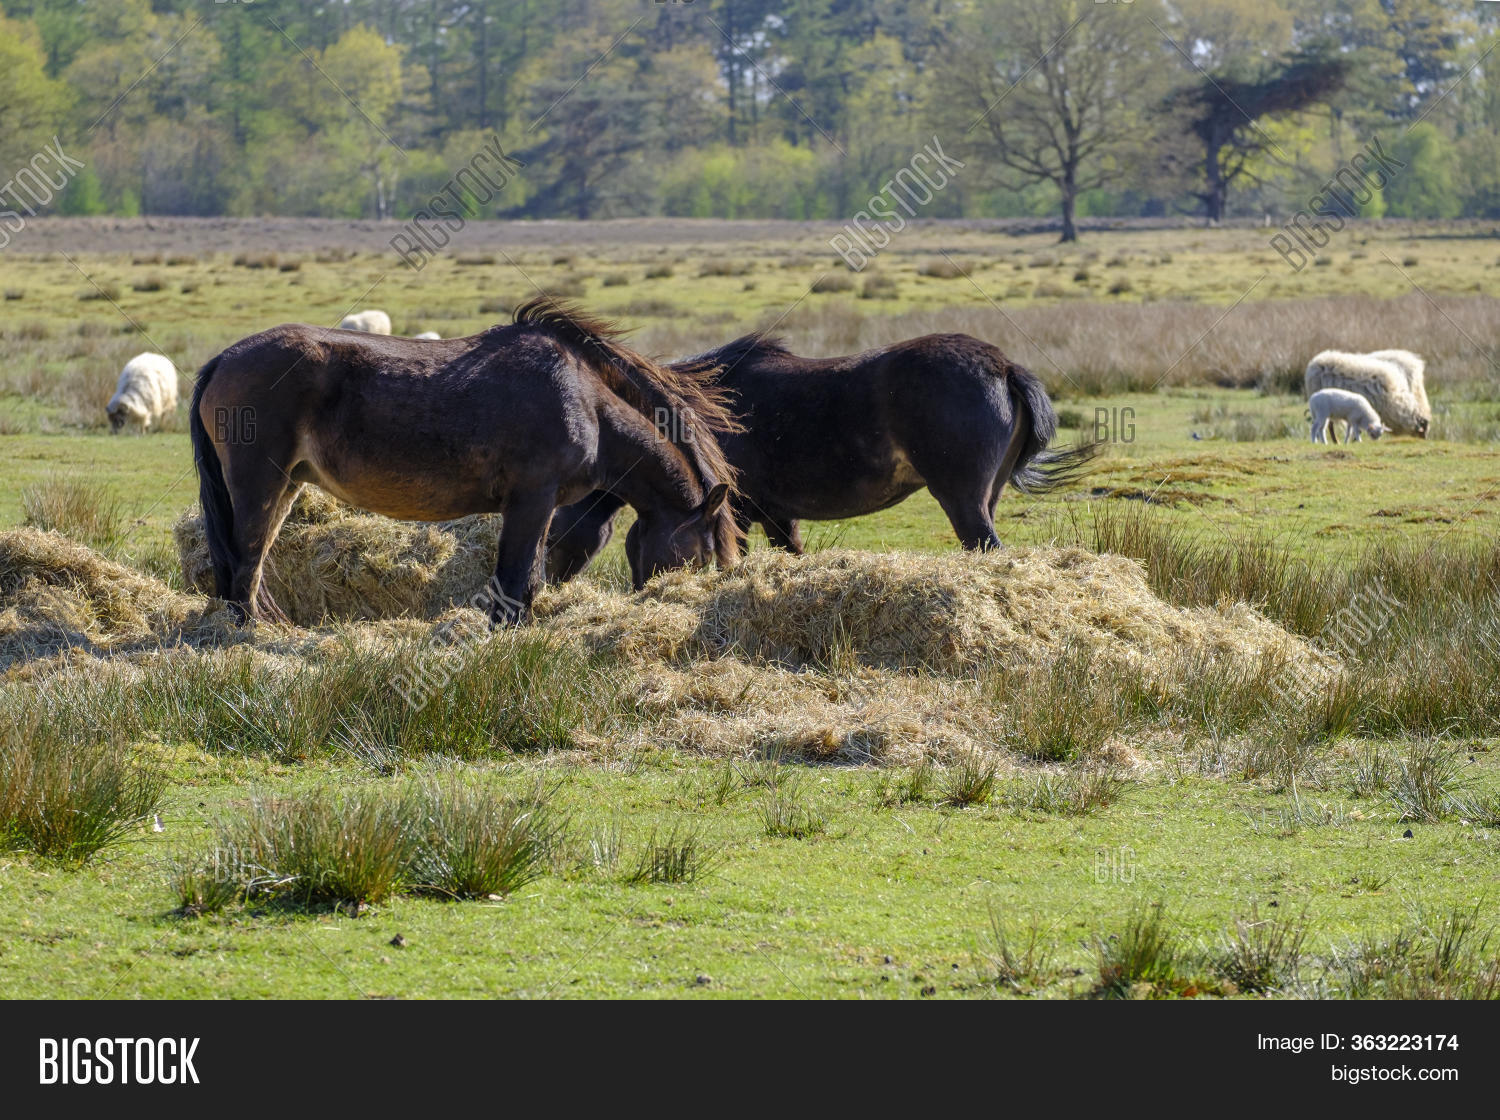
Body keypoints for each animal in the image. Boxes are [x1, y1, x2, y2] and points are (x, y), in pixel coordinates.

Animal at [190, 297, 740, 624]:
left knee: (254, 564)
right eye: (704, 553)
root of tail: (223, 359)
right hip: (260, 486)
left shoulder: (541, 510)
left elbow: (526, 580)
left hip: (287, 486)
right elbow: (516, 581)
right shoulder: (531, 502)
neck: (586, 404)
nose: (659, 605)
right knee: (243, 564)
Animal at [548, 332, 1096, 581]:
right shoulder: (775, 515)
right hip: (989, 496)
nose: (544, 587)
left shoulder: (737, 514)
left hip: (963, 500)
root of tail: (1003, 367)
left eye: (552, 531)